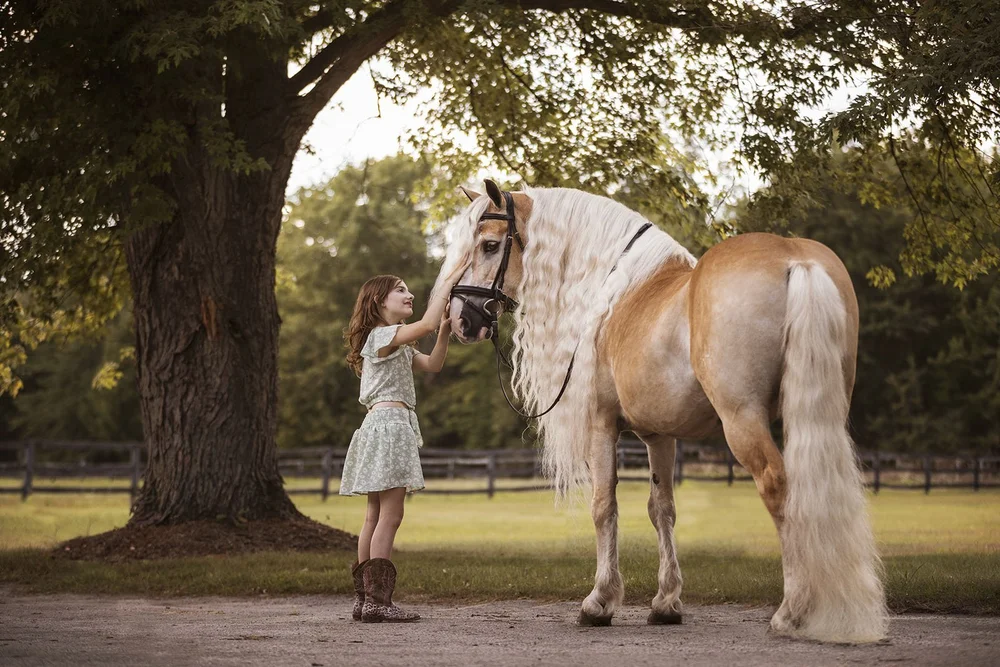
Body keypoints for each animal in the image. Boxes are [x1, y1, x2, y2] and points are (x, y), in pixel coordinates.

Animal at [435, 179, 888, 644]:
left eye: (490, 245)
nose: (461, 319)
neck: (611, 292)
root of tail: (794, 257)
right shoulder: (659, 435)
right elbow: (661, 508)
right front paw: (666, 603)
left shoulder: (601, 425)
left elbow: (605, 506)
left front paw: (599, 602)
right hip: (823, 410)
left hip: (743, 418)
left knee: (778, 486)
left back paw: (791, 612)